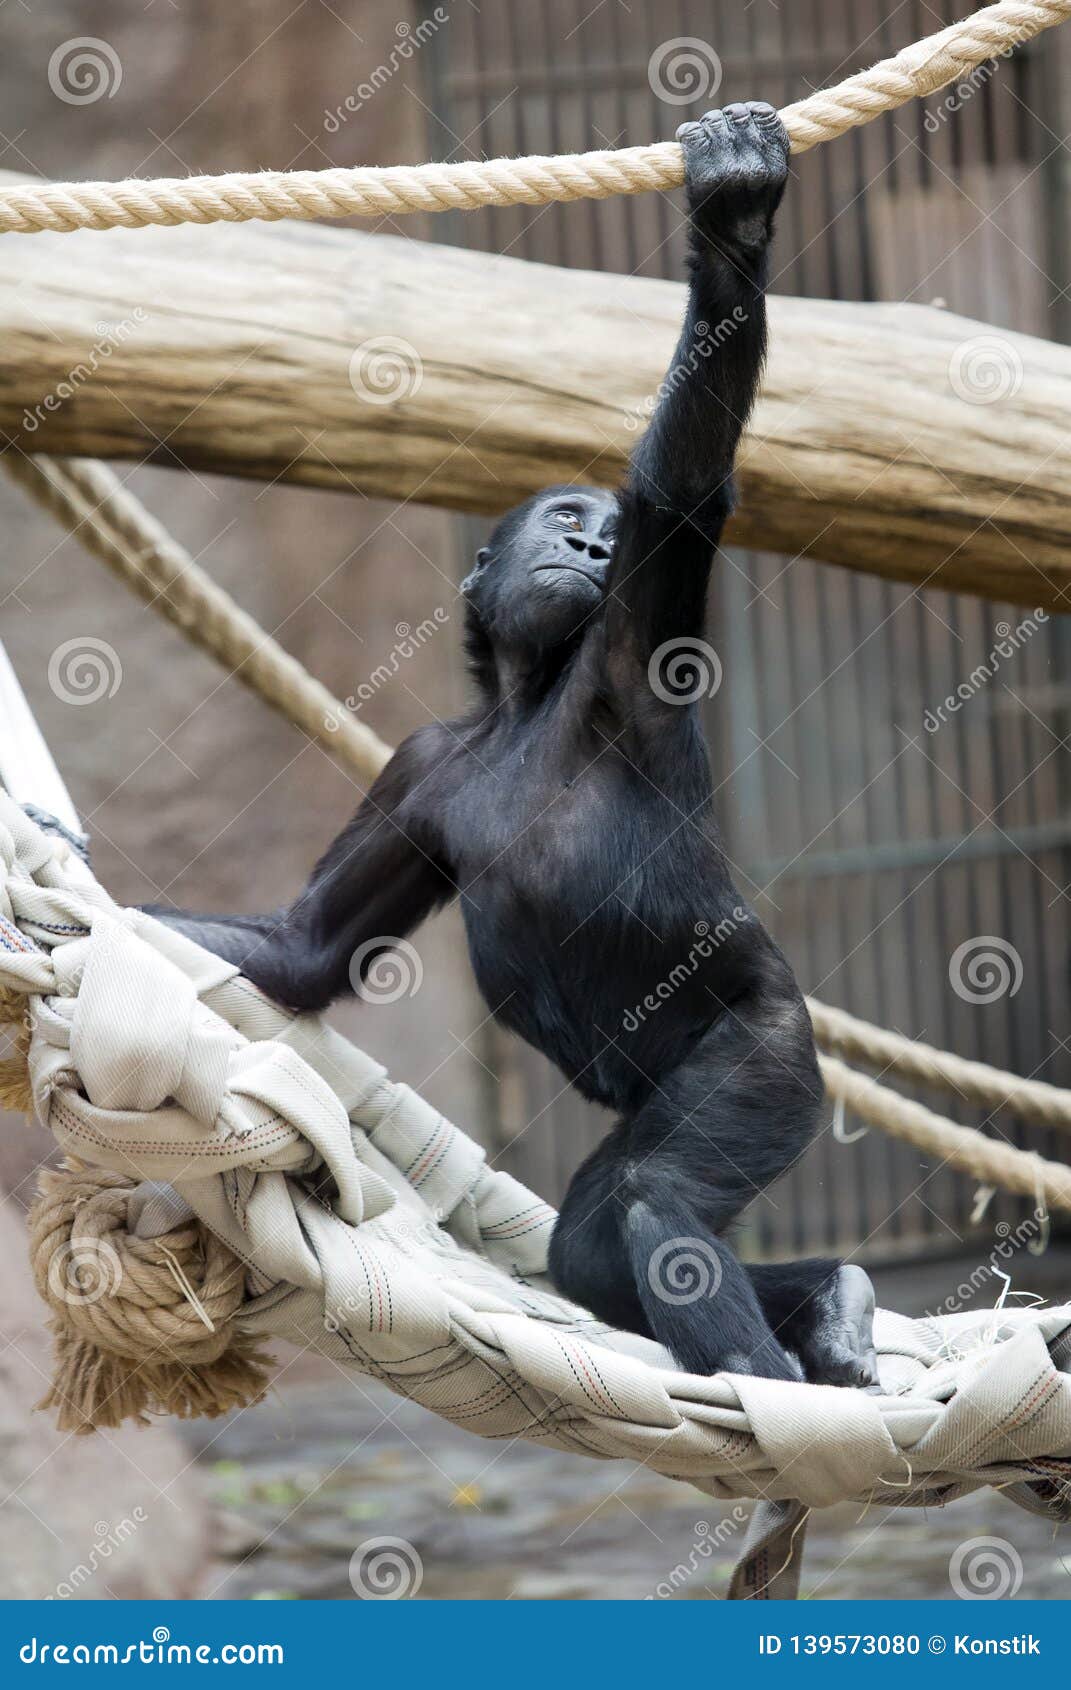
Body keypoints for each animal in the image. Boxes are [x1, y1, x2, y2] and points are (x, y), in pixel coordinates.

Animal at [151, 104, 878, 1388]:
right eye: (565, 522)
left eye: (601, 533)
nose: (587, 548)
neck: (530, 699)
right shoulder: (420, 763)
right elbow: (306, 947)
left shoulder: (635, 638)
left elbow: (682, 486)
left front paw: (734, 218)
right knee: (592, 1246)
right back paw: (829, 1310)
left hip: (769, 1052)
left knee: (651, 1199)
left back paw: (772, 1384)